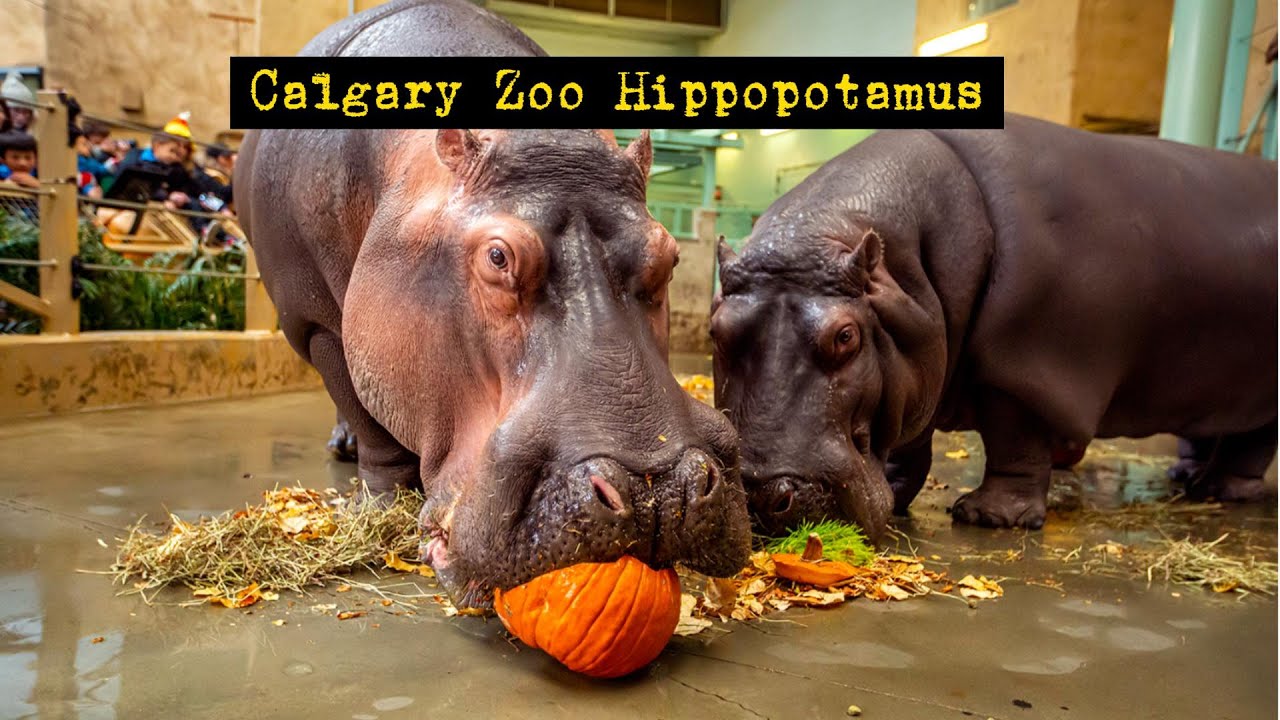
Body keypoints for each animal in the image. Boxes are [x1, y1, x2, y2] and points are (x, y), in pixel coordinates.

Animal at [236, 0, 750, 607]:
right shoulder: (320, 324)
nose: (658, 493)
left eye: (669, 255)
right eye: (498, 257)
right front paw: (381, 504)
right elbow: (368, 417)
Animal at [711, 113, 1277, 538]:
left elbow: (1014, 439)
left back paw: (1222, 491)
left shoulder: (1023, 364)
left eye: (846, 336)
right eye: (716, 331)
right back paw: (1189, 476)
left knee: (1252, 444)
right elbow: (910, 442)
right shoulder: (921, 355)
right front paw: (896, 491)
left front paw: (989, 518)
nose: (760, 495)